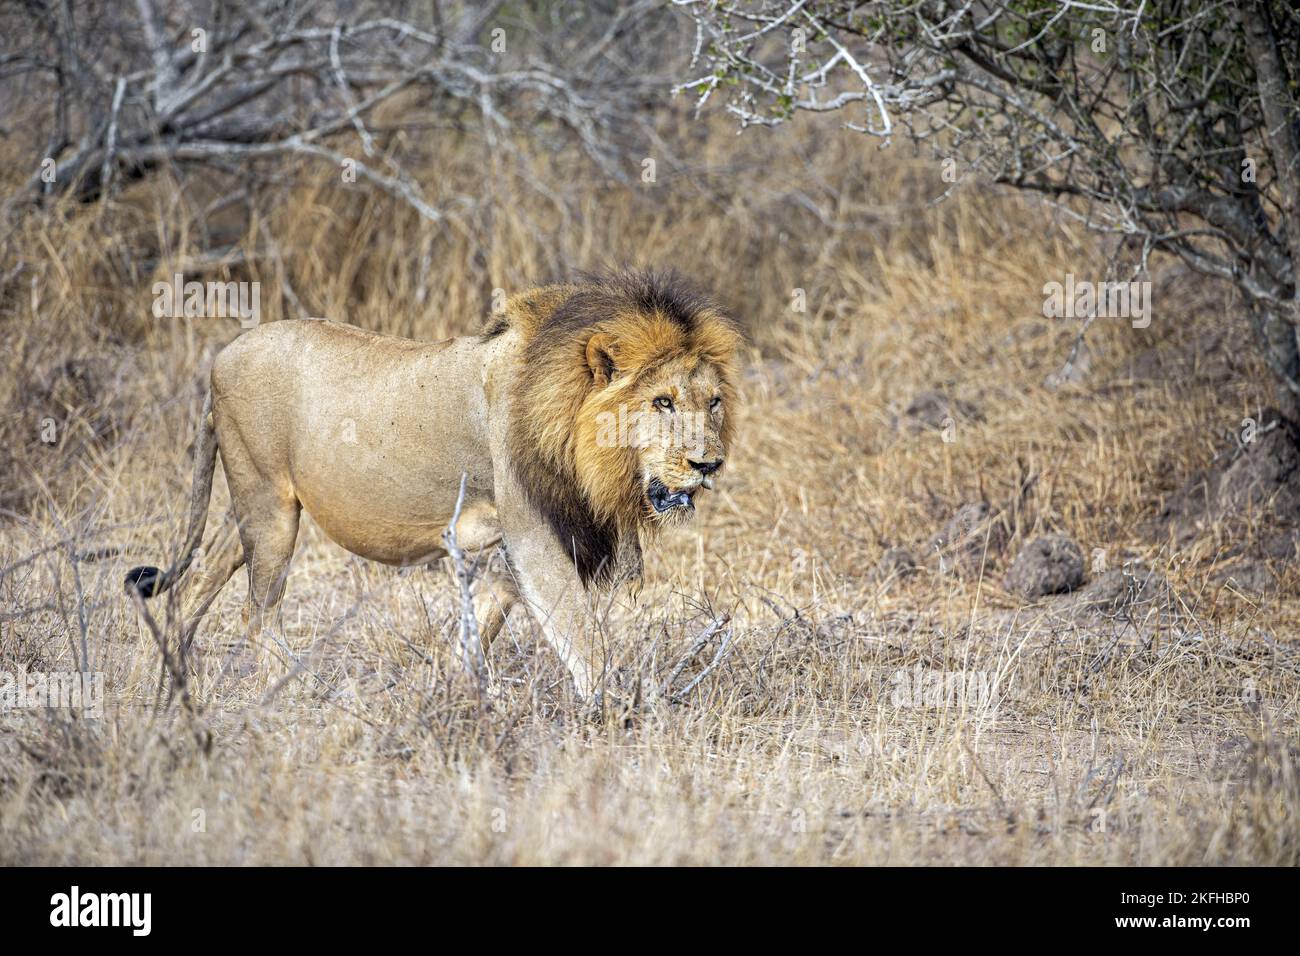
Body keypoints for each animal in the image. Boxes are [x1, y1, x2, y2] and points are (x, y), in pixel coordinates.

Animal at [125, 269, 742, 700]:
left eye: (713, 403)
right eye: (662, 403)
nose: (708, 465)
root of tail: (220, 358)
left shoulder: (508, 551)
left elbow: (481, 627)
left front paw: (444, 690)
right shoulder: (533, 534)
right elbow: (584, 637)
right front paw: (613, 716)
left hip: (252, 506)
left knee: (198, 578)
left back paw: (169, 678)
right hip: (269, 507)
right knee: (258, 615)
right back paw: (290, 692)